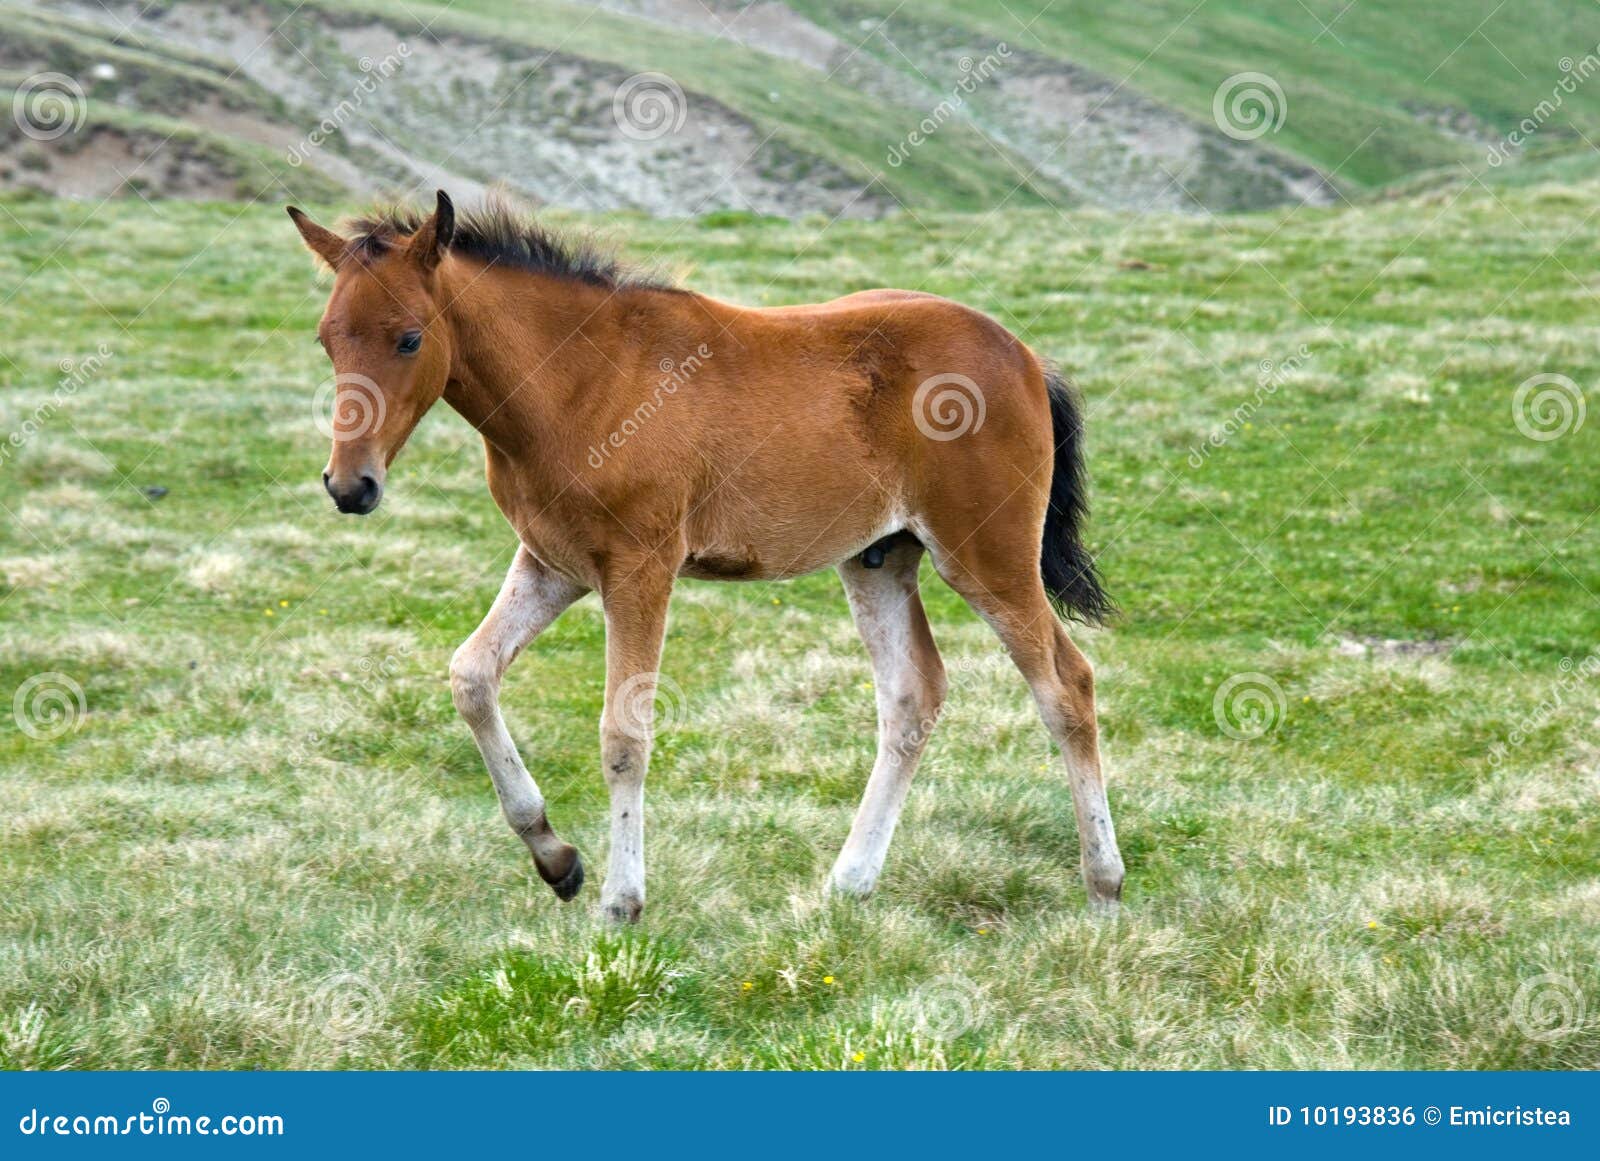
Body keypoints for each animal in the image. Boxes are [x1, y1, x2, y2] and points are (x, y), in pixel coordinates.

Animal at [288, 190, 1126, 923]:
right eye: (327, 338)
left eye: (409, 337)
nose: (350, 484)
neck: (580, 382)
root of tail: (1025, 357)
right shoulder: (552, 564)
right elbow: (471, 675)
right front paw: (557, 859)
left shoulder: (640, 569)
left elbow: (624, 734)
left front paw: (621, 902)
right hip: (880, 558)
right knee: (912, 695)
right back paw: (849, 882)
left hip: (986, 554)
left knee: (1066, 684)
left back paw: (1104, 885)